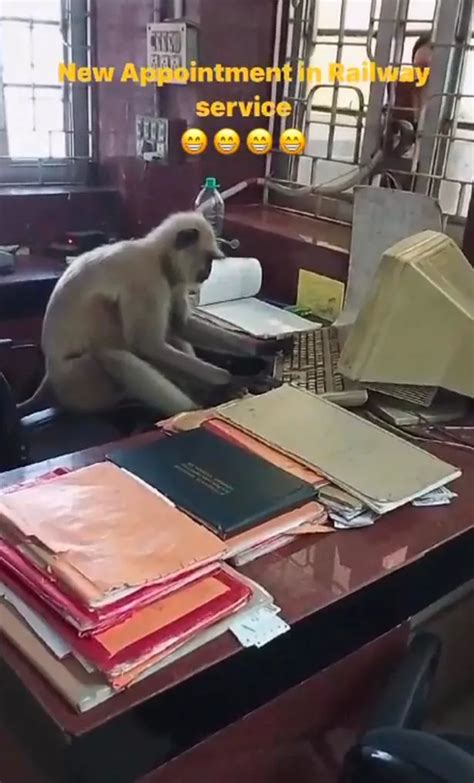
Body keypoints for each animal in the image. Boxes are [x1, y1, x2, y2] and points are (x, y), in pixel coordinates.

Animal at [18, 212, 261, 418]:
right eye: (208, 259)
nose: (208, 272)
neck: (158, 256)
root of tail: (50, 378)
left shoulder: (173, 280)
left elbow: (180, 325)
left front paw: (261, 347)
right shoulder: (147, 280)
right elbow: (147, 345)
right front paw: (231, 380)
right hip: (77, 383)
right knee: (116, 357)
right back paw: (196, 408)